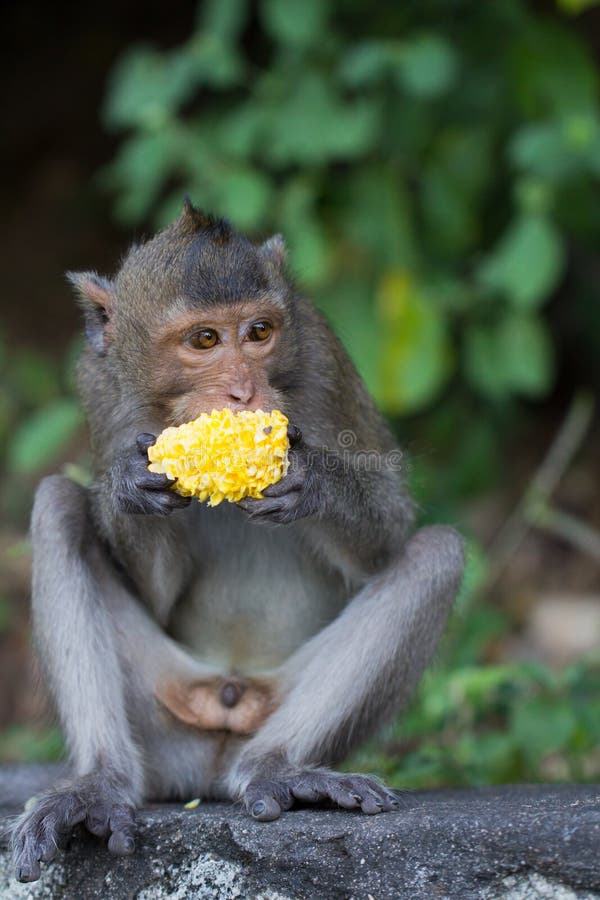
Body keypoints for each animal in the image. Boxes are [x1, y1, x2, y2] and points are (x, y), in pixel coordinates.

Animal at [11, 200, 464, 882]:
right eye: (204, 340)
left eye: (259, 332)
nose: (245, 393)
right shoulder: (99, 386)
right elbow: (152, 588)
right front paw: (127, 486)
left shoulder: (323, 358)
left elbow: (388, 535)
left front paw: (311, 480)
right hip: (164, 722)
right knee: (57, 505)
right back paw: (98, 786)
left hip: (267, 707)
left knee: (437, 554)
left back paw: (279, 770)